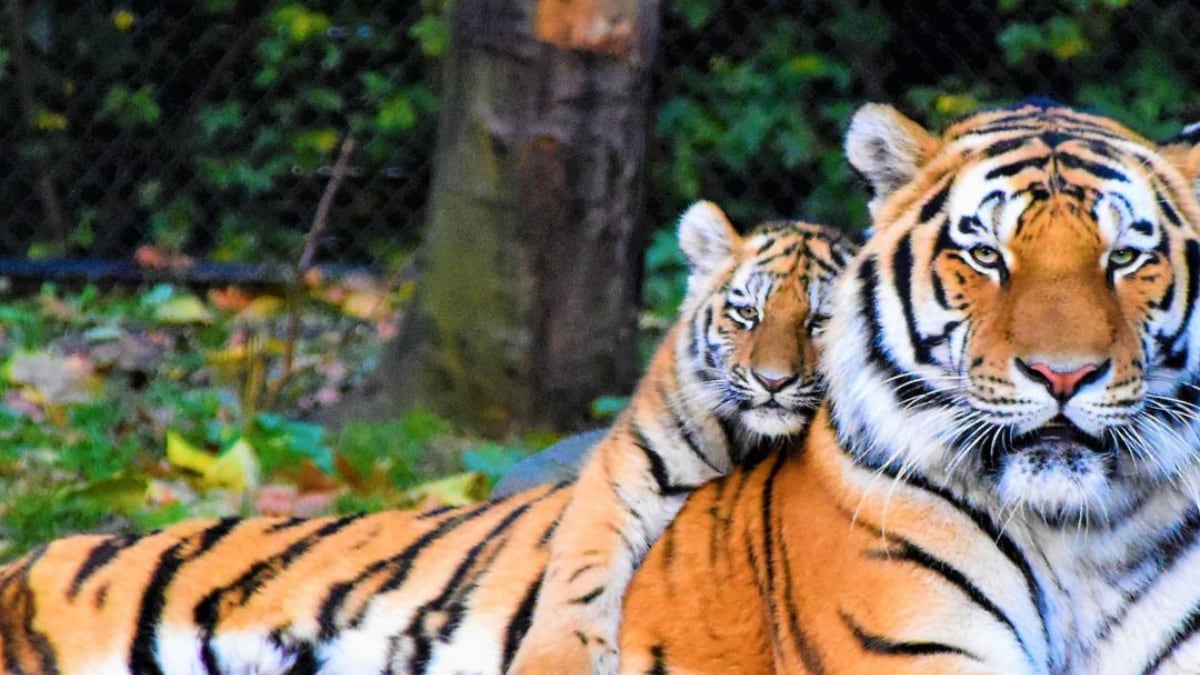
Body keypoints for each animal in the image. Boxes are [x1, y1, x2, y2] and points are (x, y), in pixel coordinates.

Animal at [0, 202, 855, 675]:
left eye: (819, 321)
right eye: (745, 313)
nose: (773, 381)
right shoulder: (631, 461)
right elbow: (581, 565)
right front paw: (561, 656)